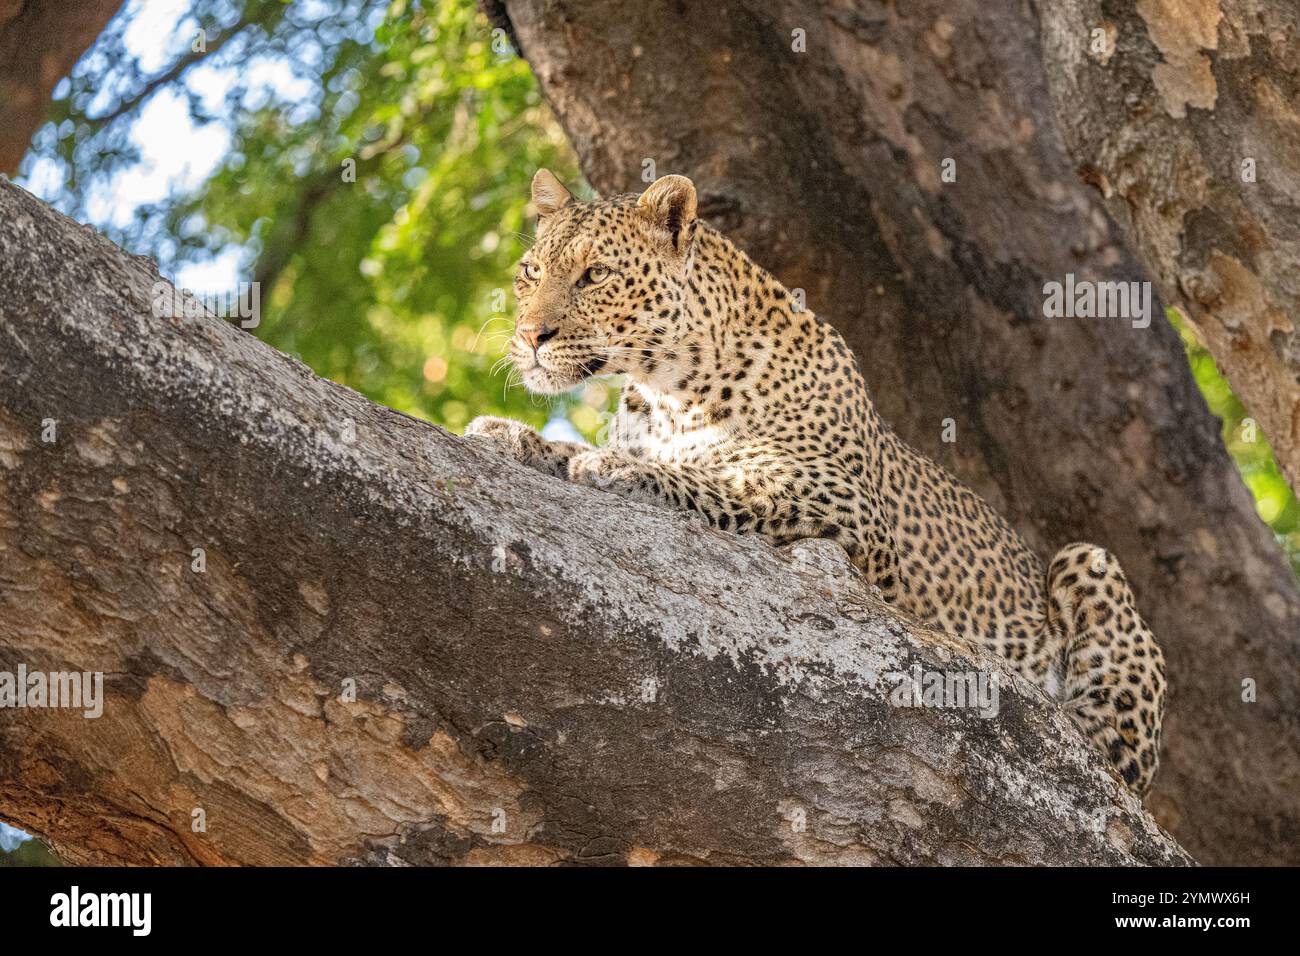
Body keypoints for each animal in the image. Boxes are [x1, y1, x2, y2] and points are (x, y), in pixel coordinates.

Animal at [466, 169, 1166, 797]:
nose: (529, 336)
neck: (666, 389)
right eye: (530, 273)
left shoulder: (846, 506)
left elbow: (714, 479)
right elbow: (582, 448)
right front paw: (509, 435)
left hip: (1089, 564)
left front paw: (624, 470)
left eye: (596, 275)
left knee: (1106, 761)